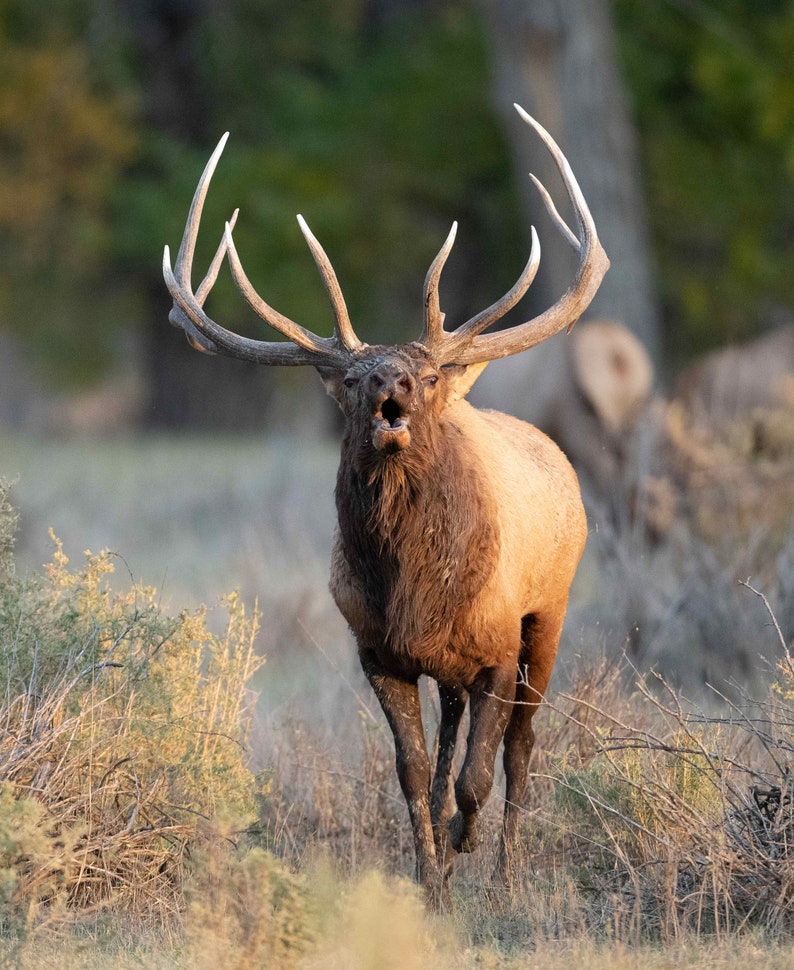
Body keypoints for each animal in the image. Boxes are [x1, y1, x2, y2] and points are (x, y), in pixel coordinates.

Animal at [163, 105, 609, 907]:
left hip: (550, 610)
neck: (416, 591)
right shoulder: (376, 650)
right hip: (454, 662)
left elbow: (477, 777)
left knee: (521, 746)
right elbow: (411, 774)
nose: (389, 387)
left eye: (427, 375)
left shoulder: (500, 642)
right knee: (453, 732)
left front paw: (462, 847)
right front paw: (430, 880)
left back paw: (506, 875)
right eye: (350, 377)